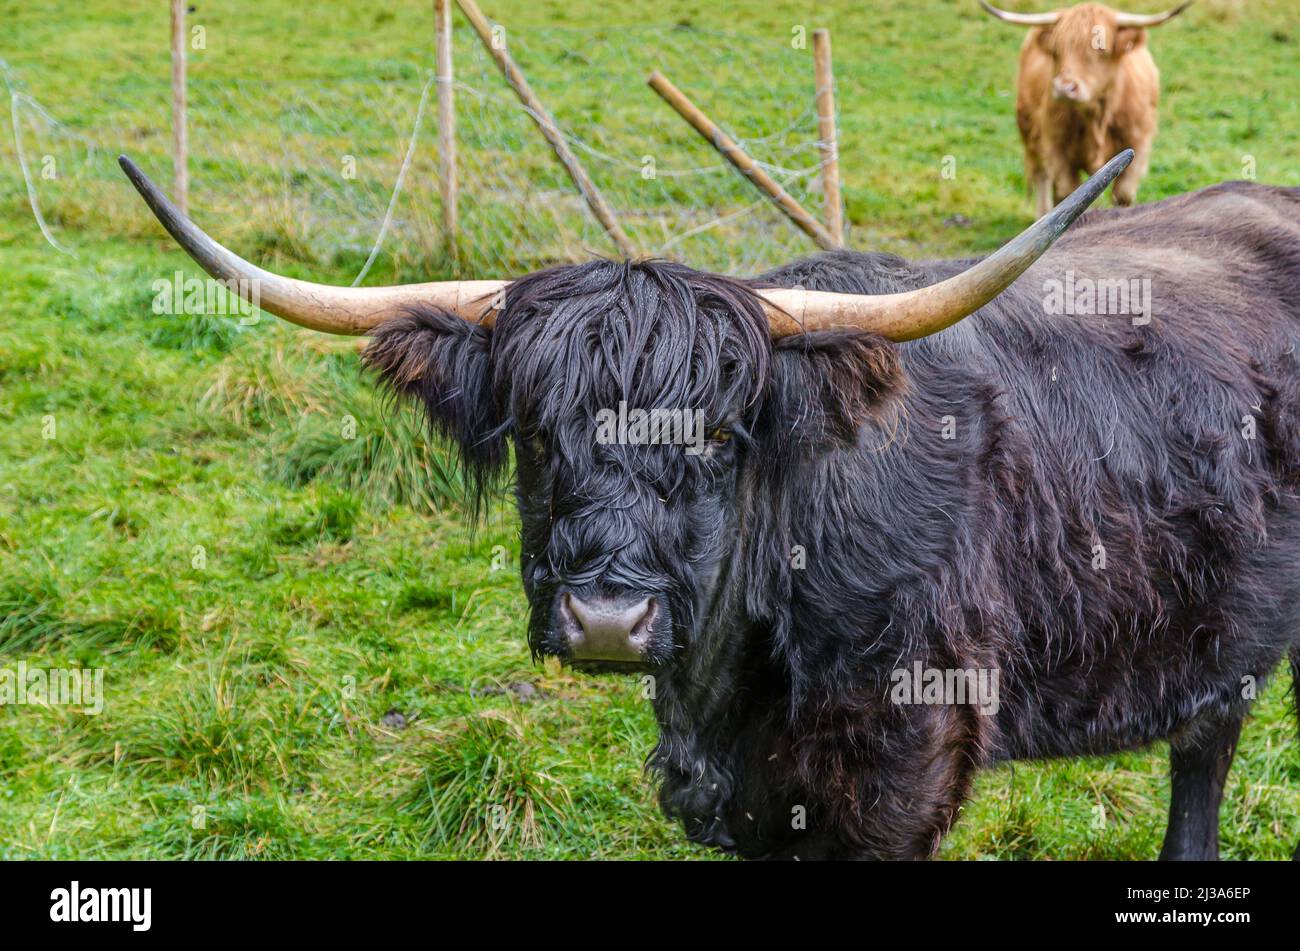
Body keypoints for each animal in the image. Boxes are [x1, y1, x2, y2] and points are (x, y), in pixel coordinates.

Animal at [981, 1, 1192, 215]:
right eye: (1056, 51)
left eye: (1101, 50)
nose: (1064, 88)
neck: (1096, 118)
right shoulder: (1057, 149)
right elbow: (1069, 193)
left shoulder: (1138, 144)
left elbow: (1123, 194)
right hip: (1031, 134)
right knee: (1043, 176)